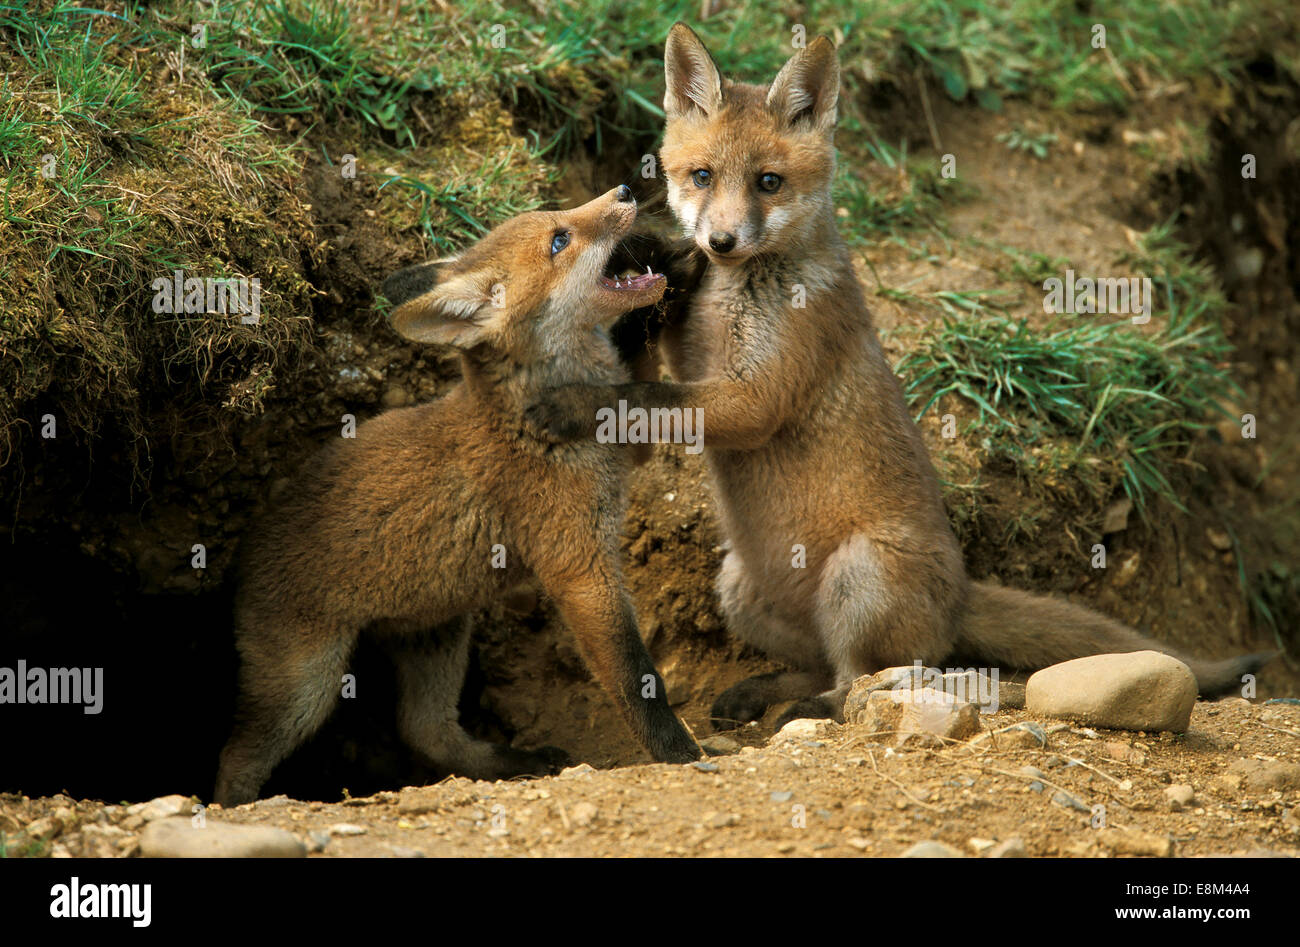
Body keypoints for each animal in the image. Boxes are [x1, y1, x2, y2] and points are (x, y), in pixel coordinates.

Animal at [213, 186, 701, 807]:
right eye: (560, 240)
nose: (624, 192)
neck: (528, 422)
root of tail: (242, 552)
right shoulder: (579, 567)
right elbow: (635, 678)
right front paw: (680, 754)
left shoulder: (628, 448)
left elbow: (637, 368)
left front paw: (677, 268)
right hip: (307, 686)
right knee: (235, 758)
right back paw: (234, 807)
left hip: (437, 632)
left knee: (426, 732)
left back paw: (514, 762)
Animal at [525, 23, 1274, 731]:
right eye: (702, 176)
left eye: (769, 182)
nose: (721, 243)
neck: (737, 293)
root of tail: (961, 596)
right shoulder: (699, 358)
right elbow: (660, 368)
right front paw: (661, 268)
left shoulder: (759, 394)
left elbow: (643, 394)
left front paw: (572, 404)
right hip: (738, 587)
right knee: (824, 665)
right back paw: (760, 690)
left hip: (858, 576)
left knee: (867, 680)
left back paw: (810, 709)